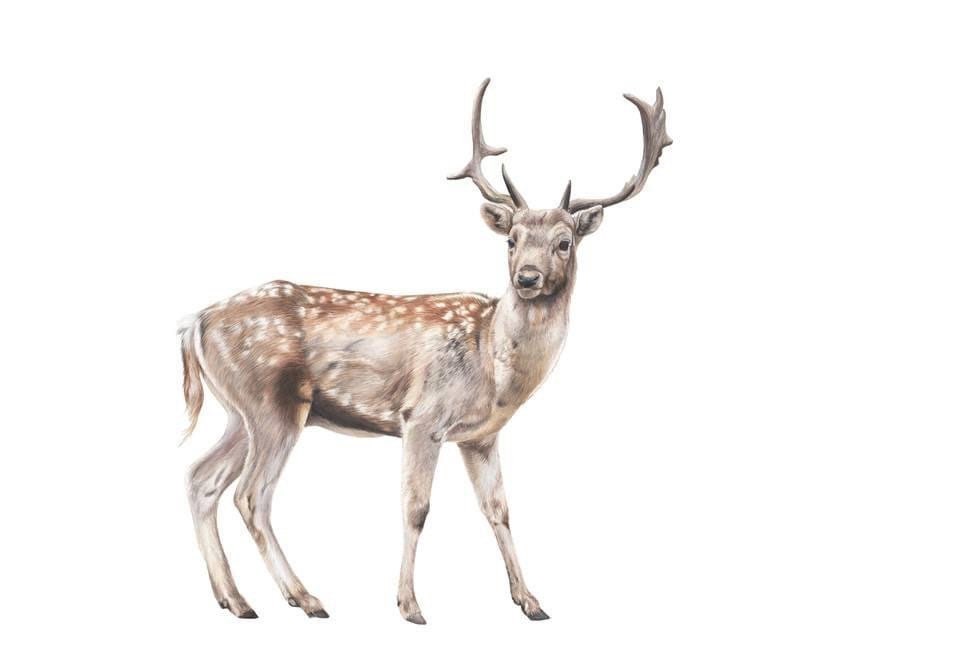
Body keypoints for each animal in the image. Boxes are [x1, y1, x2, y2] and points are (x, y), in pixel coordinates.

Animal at [178, 78, 670, 624]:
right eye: (512, 239)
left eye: (565, 242)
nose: (526, 278)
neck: (492, 363)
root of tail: (195, 323)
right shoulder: (422, 417)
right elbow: (416, 509)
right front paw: (410, 605)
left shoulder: (480, 437)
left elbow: (499, 510)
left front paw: (530, 601)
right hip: (273, 405)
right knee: (251, 495)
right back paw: (305, 598)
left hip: (238, 411)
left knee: (201, 478)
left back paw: (236, 599)